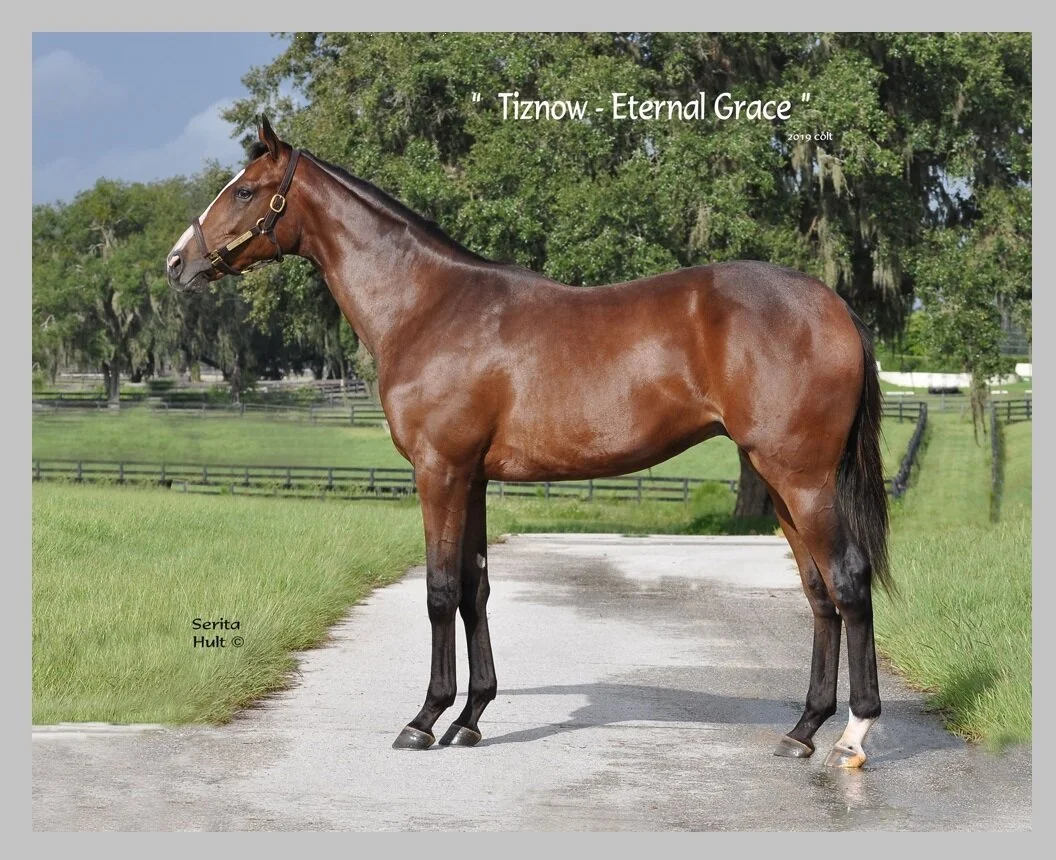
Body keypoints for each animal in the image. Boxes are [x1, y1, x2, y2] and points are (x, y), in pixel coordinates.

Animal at [166, 116, 892, 768]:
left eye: (244, 190)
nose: (177, 262)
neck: (428, 306)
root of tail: (833, 305)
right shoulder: (473, 478)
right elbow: (474, 589)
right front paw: (470, 718)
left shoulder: (439, 471)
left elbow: (438, 591)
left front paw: (424, 720)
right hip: (778, 482)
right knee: (818, 592)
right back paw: (803, 730)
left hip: (802, 478)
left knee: (848, 581)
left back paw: (853, 736)